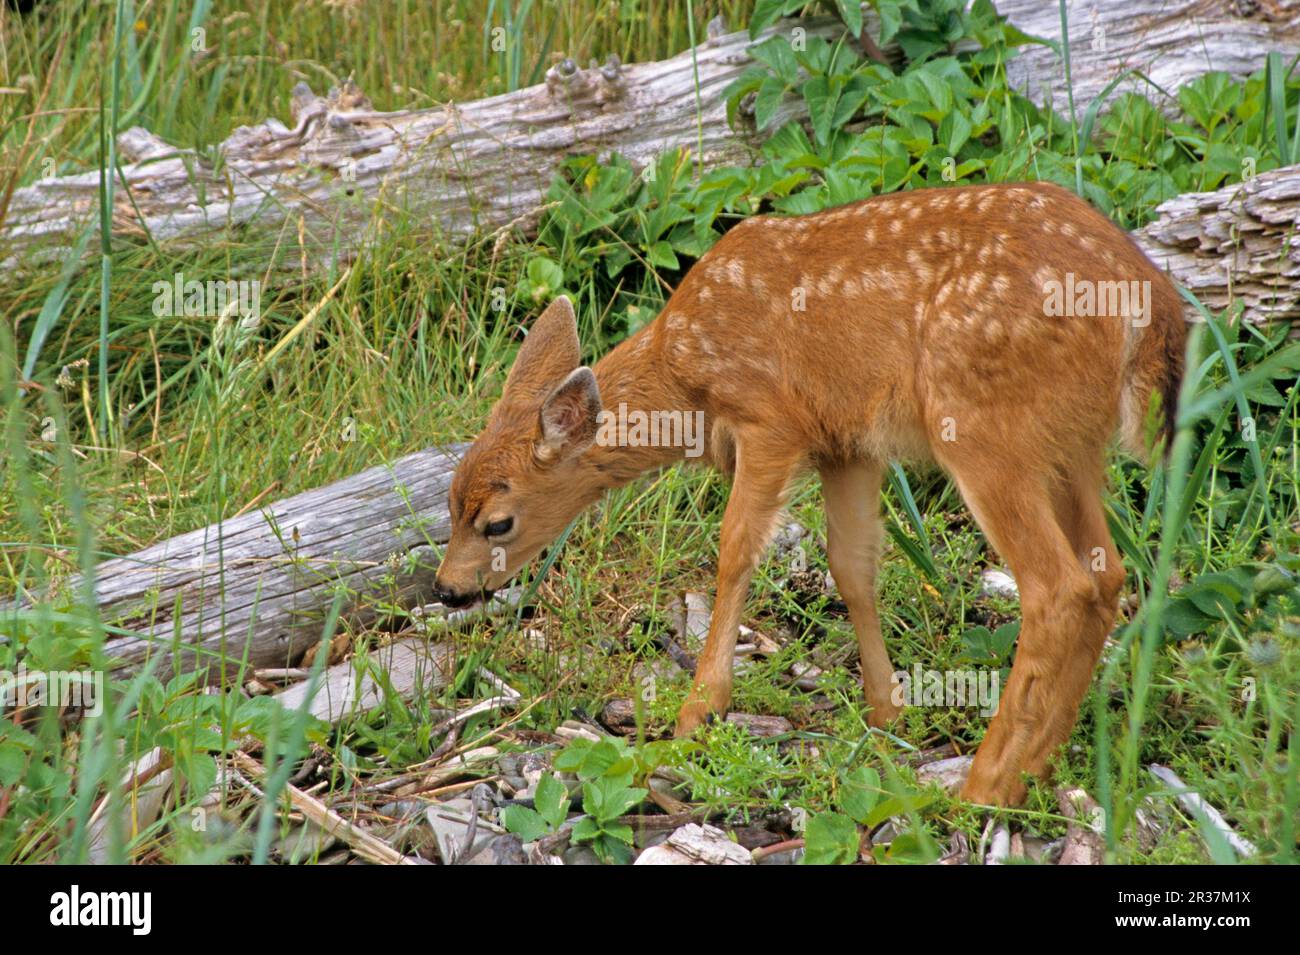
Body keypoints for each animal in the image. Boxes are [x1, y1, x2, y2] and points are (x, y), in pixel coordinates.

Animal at [433, 180, 1185, 807]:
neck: (686, 375)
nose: (448, 588)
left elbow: (736, 550)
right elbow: (853, 567)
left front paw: (699, 710)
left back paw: (984, 785)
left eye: (497, 522)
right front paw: (886, 712)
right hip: (1070, 446)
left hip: (982, 424)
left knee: (1058, 589)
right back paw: (1036, 766)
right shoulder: (847, 445)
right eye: (449, 502)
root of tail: (1149, 299)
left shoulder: (771, 420)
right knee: (1107, 575)